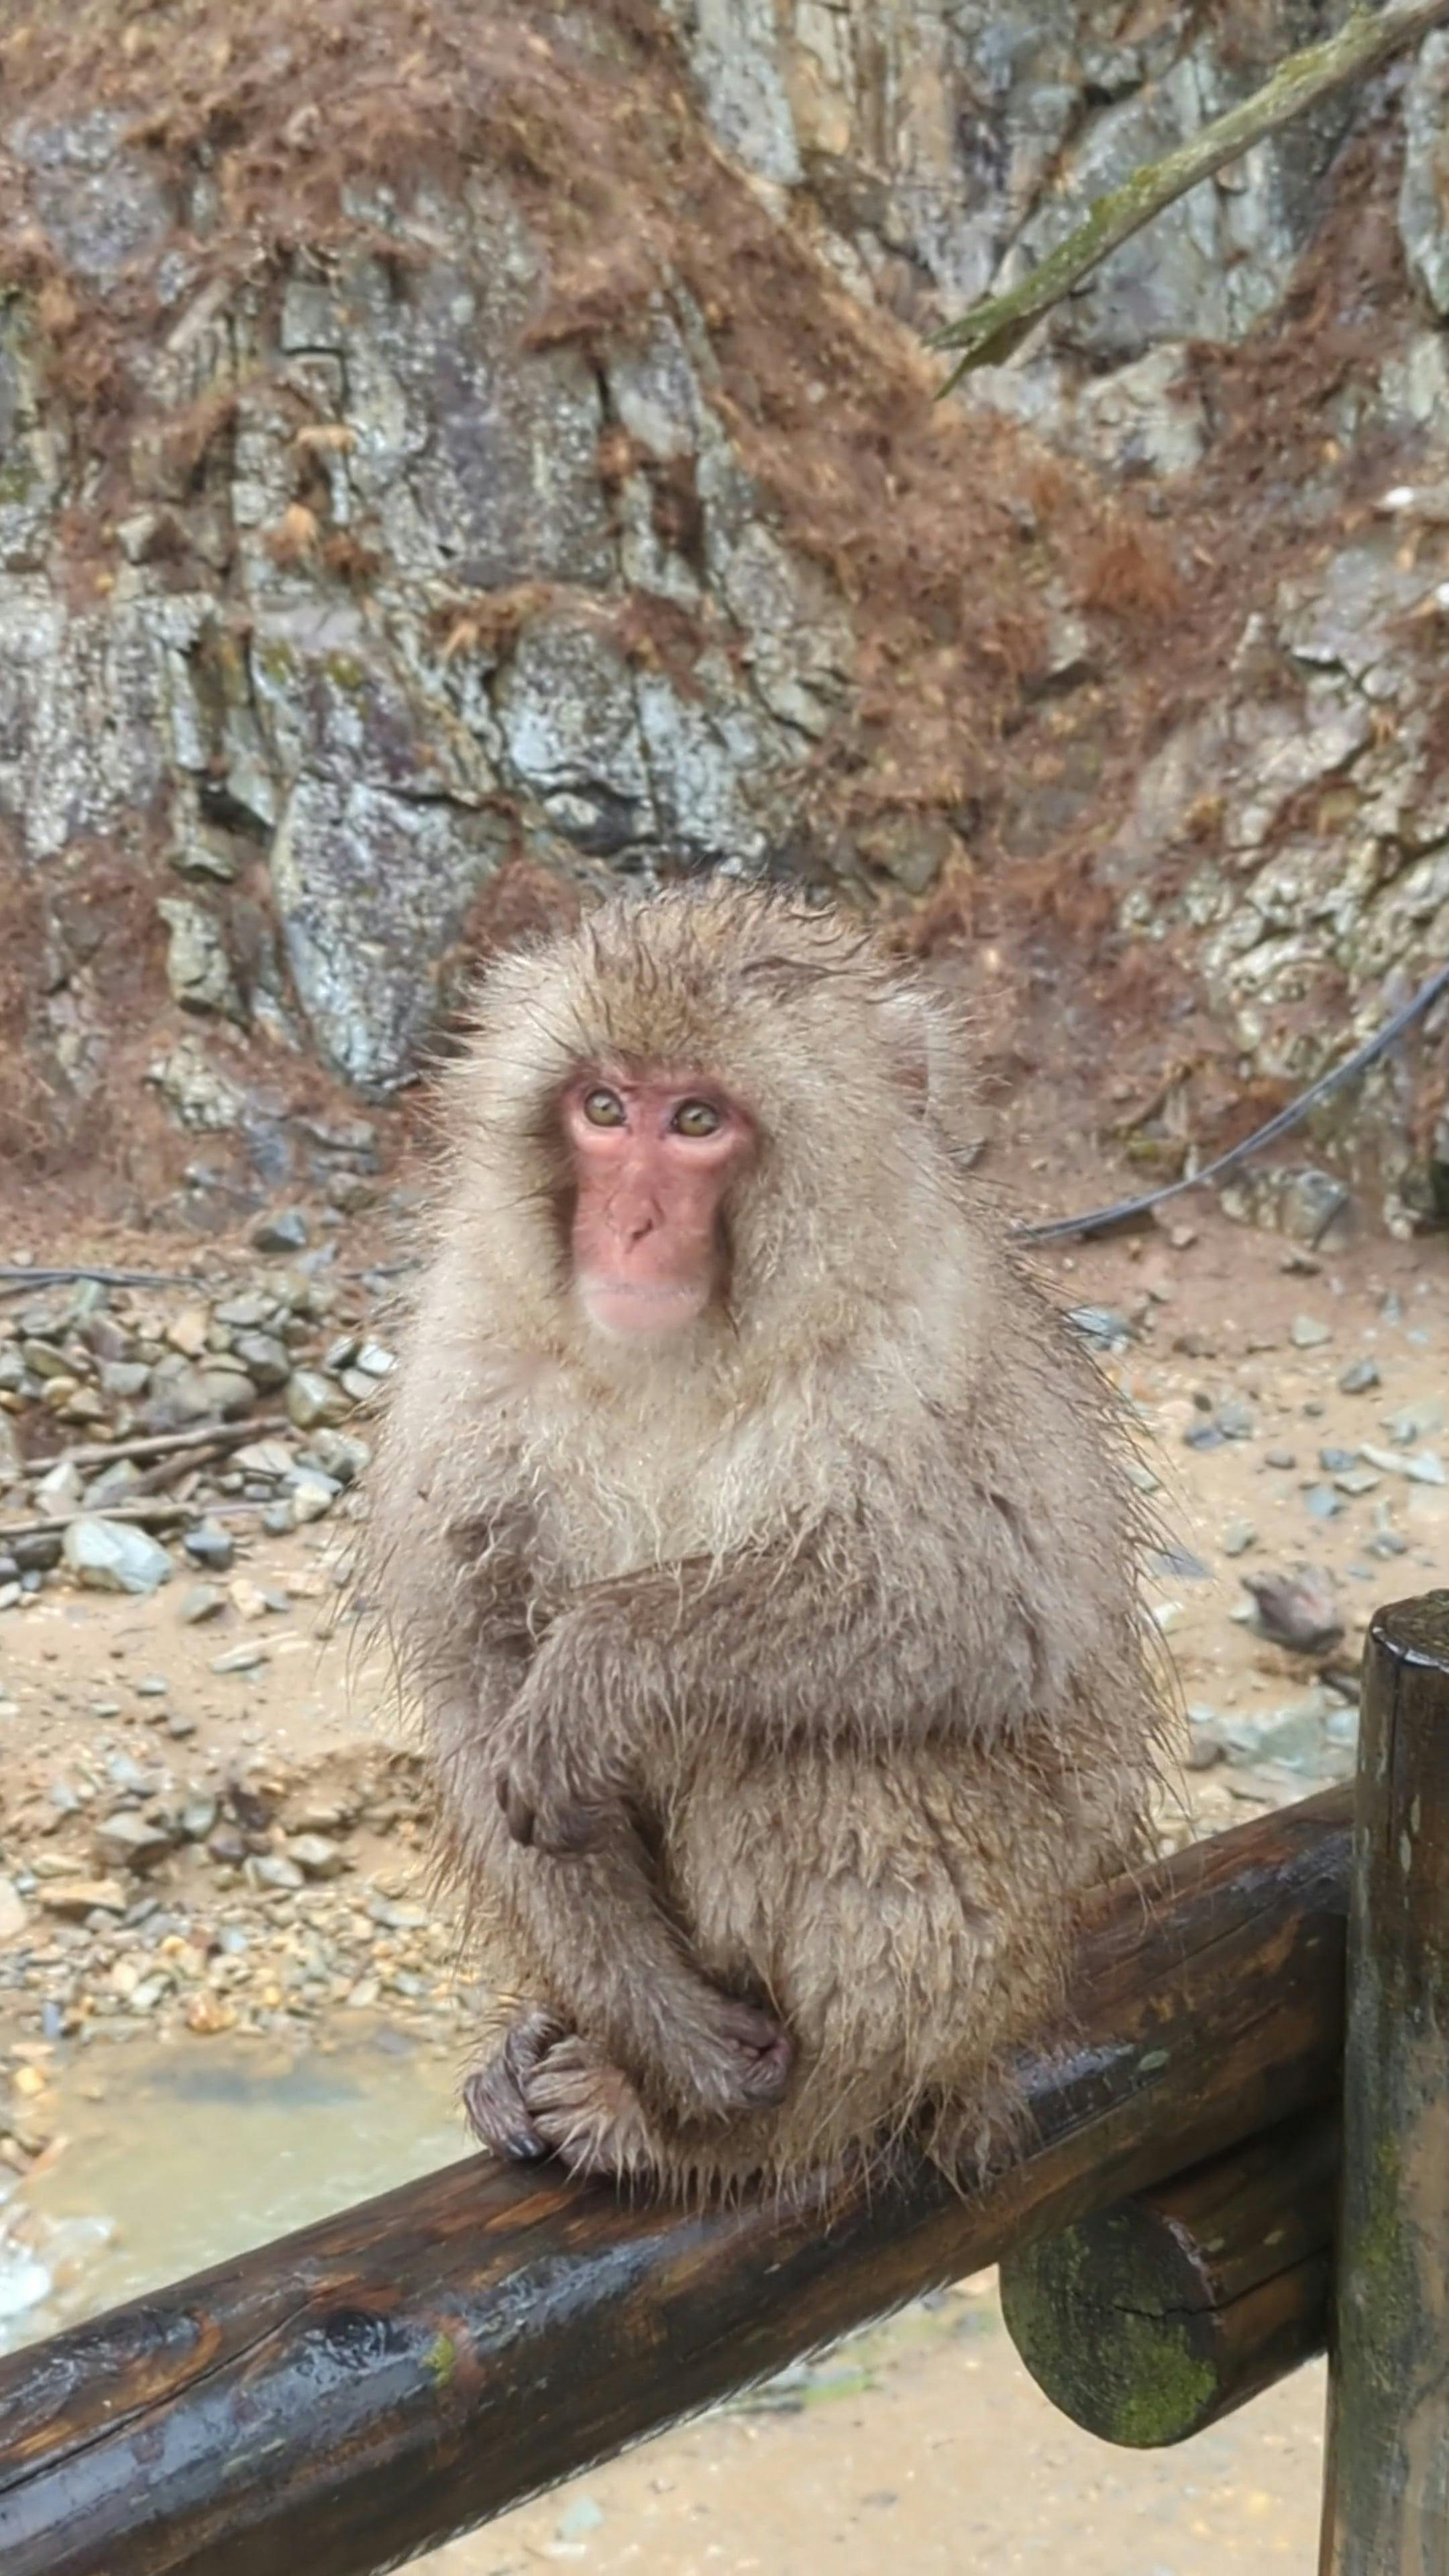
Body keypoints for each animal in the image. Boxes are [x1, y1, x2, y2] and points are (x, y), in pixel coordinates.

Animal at [363, 880, 1163, 2196]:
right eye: (603, 1108)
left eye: (697, 1121)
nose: (631, 1224)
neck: (678, 1357)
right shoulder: (471, 1355)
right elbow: (473, 1676)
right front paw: (669, 2037)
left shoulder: (916, 1350)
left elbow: (997, 1612)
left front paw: (600, 1666)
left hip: (999, 1961)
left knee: (805, 1750)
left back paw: (805, 2113)